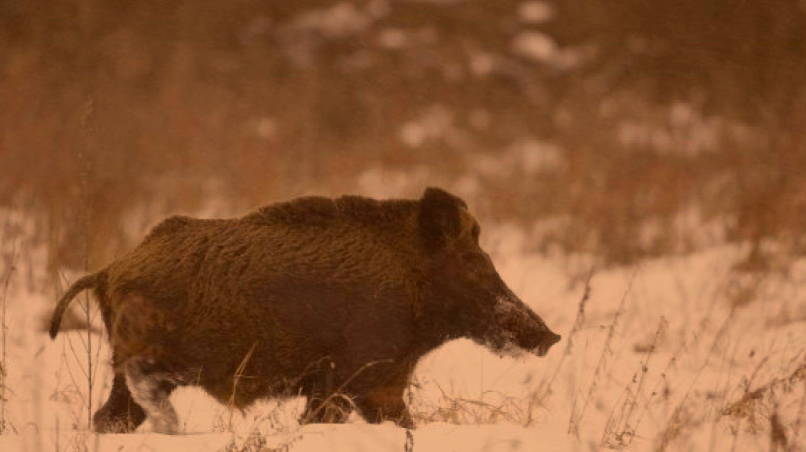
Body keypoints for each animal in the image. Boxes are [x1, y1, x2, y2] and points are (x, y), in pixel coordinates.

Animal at [49, 187, 561, 433]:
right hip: (139, 368)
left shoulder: (384, 386)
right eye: (474, 266)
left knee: (110, 420)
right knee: (112, 418)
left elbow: (405, 425)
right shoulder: (343, 381)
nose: (551, 337)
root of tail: (109, 270)